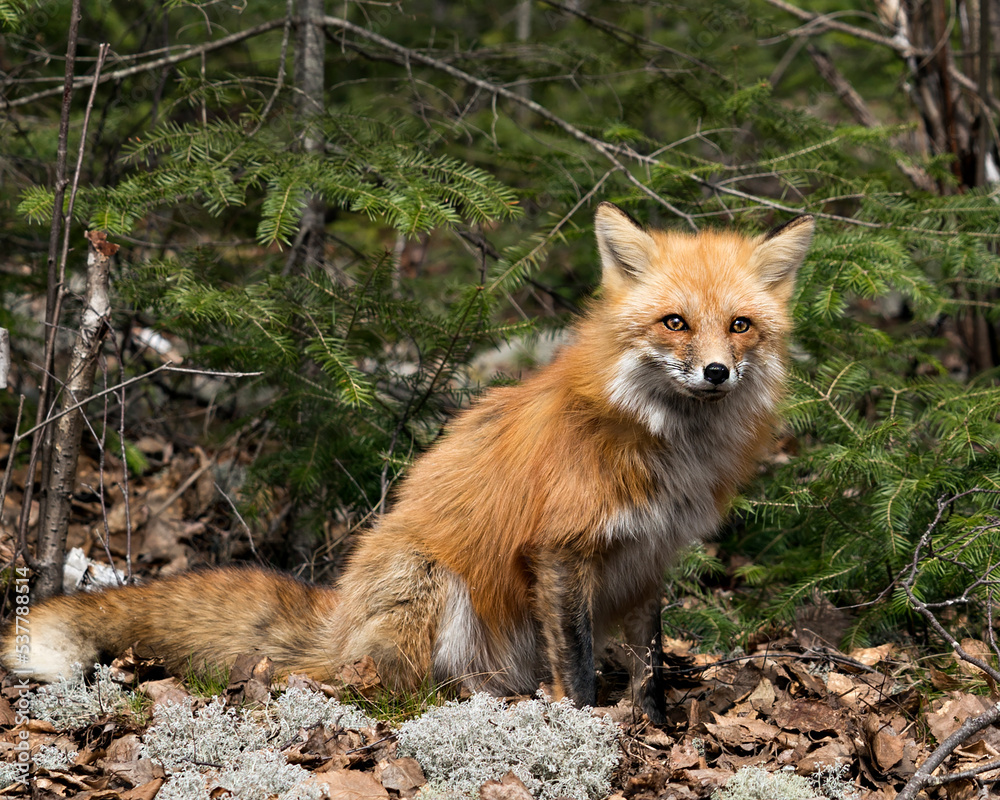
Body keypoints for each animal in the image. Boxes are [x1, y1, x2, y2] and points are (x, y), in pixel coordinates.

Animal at [4, 203, 813, 721]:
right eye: (674, 322)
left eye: (740, 326)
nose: (716, 372)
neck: (657, 441)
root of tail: (337, 617)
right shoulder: (560, 551)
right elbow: (580, 667)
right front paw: (584, 728)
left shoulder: (648, 557)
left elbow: (649, 668)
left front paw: (654, 730)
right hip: (431, 585)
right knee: (379, 686)